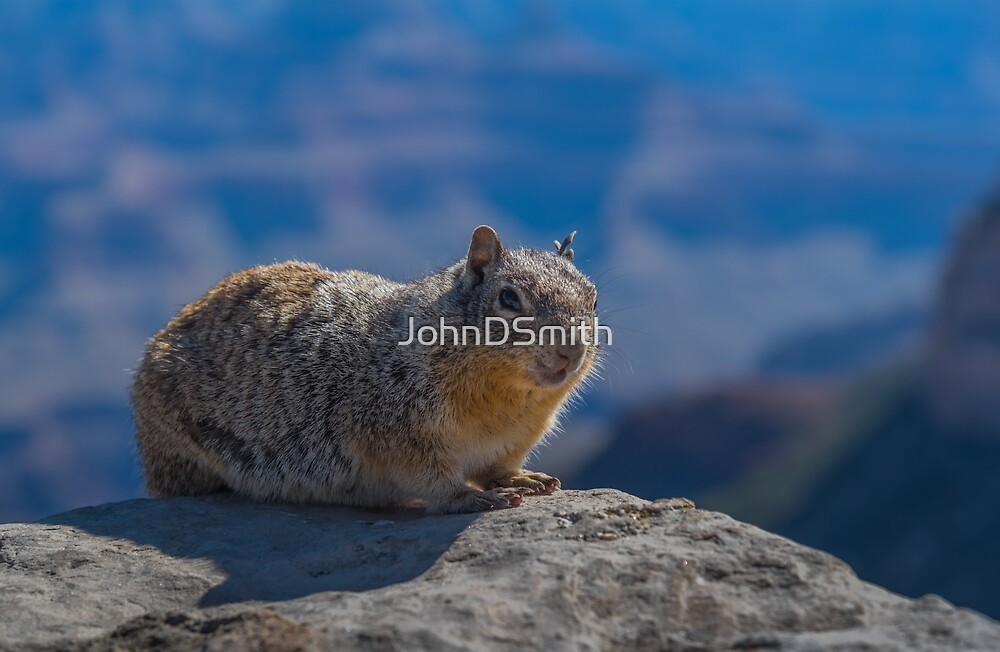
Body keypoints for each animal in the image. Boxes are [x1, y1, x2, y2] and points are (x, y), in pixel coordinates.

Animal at [132, 225, 600, 513]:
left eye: (593, 299)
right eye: (508, 298)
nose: (570, 352)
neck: (505, 398)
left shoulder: (515, 438)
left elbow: (497, 467)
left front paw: (520, 479)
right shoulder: (396, 427)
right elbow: (429, 477)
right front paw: (468, 498)